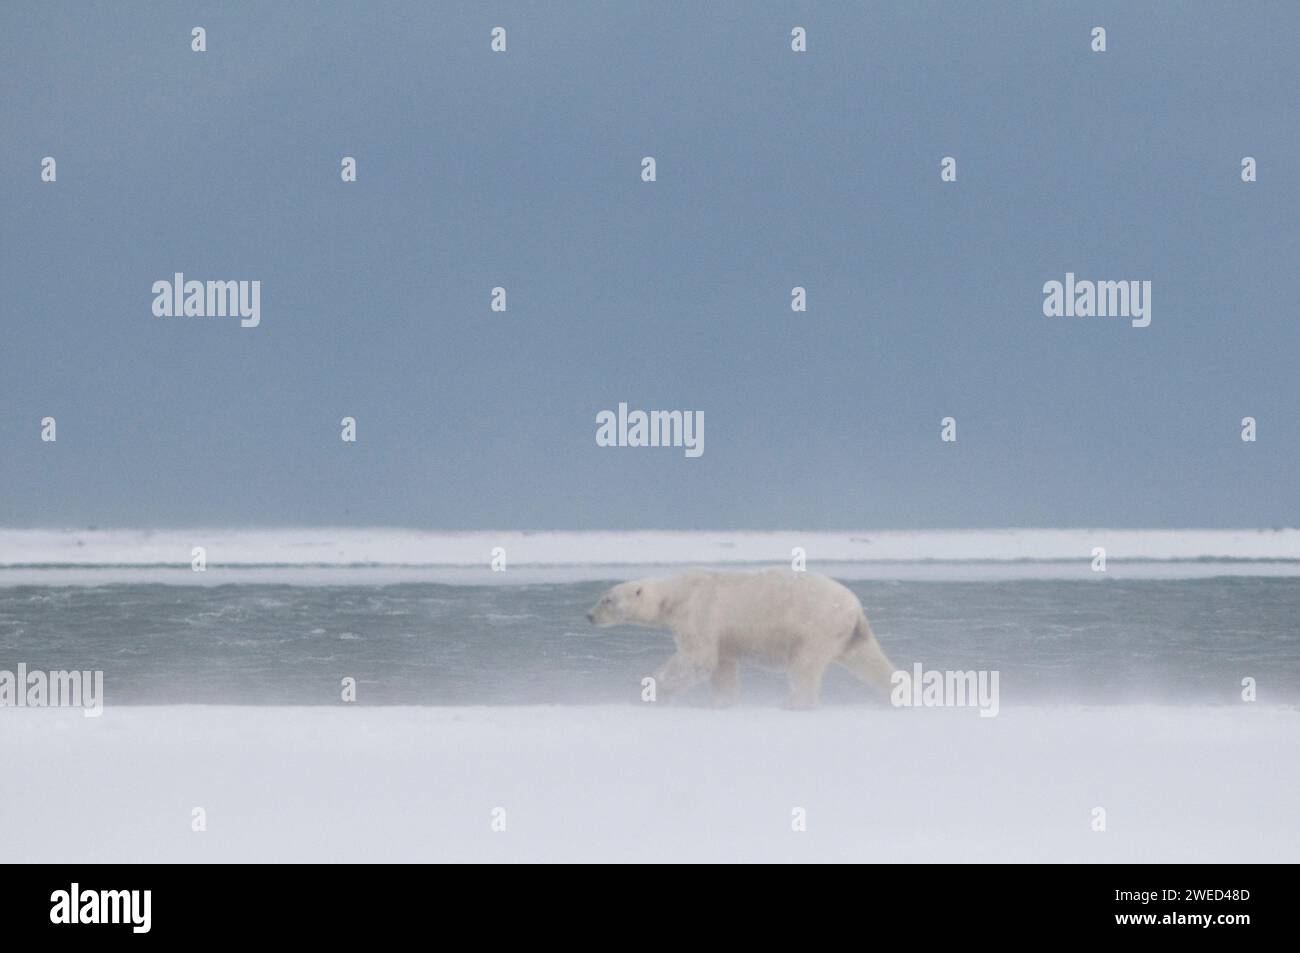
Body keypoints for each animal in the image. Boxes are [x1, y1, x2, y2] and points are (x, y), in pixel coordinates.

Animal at [586, 570, 898, 709]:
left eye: (607, 599)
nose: (589, 615)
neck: (678, 594)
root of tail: (855, 607)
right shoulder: (721, 634)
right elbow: (721, 666)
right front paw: (723, 701)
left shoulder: (702, 613)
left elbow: (697, 660)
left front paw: (654, 689)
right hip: (848, 634)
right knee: (869, 660)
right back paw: (900, 693)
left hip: (816, 625)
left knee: (804, 666)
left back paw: (792, 702)